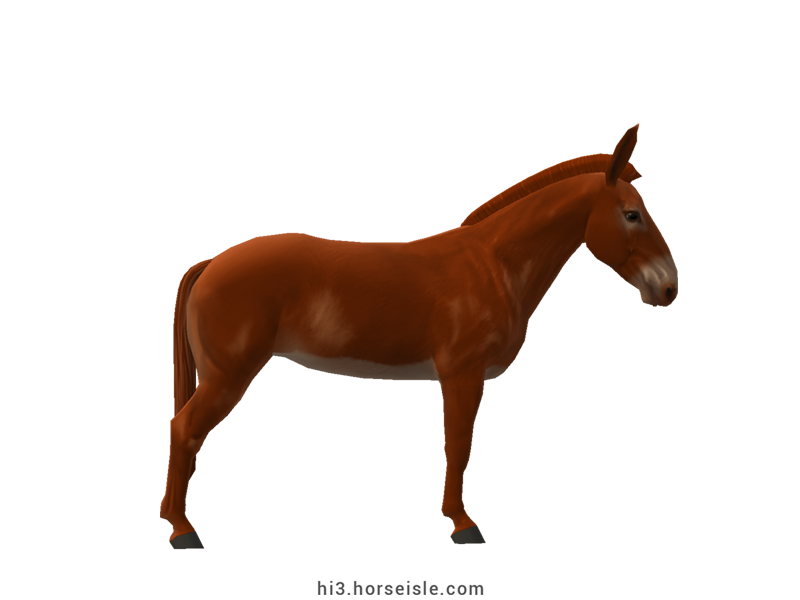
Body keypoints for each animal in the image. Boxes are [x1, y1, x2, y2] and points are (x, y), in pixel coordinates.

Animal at [160, 126, 677, 539]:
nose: (668, 287)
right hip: (226, 376)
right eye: (632, 214)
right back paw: (182, 530)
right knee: (184, 430)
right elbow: (459, 444)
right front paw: (461, 523)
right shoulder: (461, 371)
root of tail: (212, 263)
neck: (494, 263)